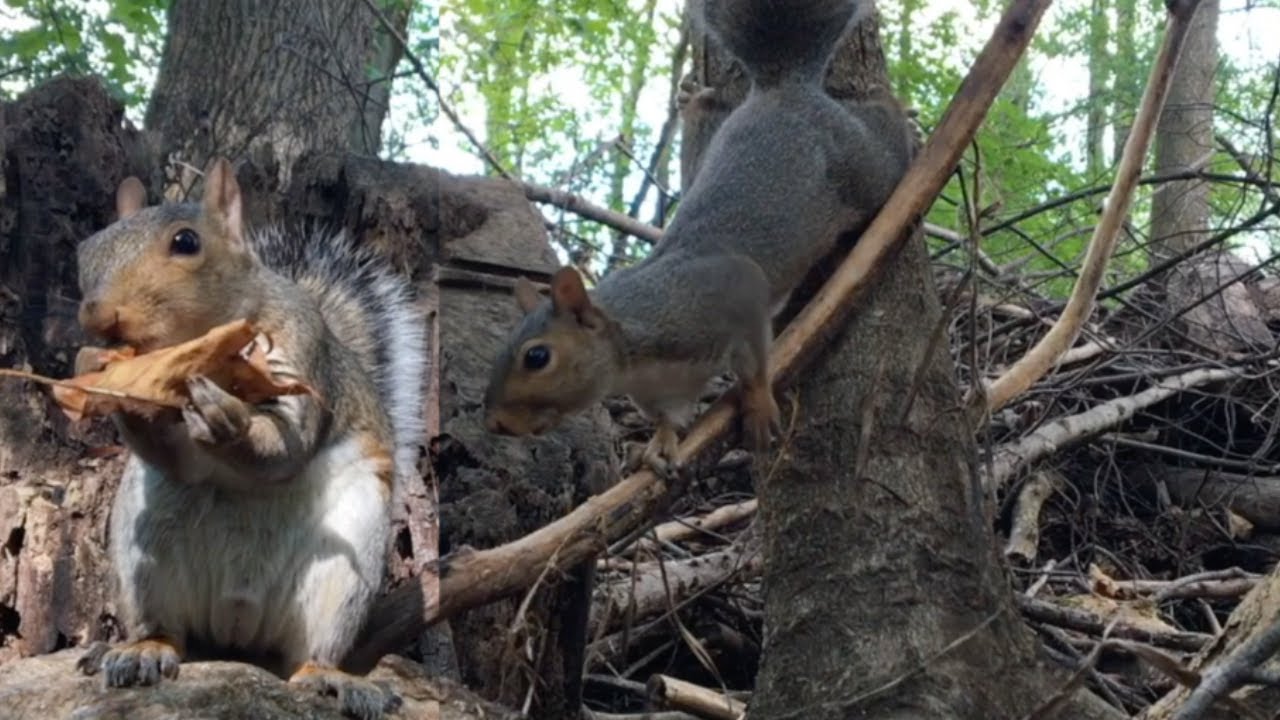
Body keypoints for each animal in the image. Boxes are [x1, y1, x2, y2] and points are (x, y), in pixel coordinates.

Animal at [72, 157, 425, 720]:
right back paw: (141, 650)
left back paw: (330, 678)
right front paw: (115, 383)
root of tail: (239, 627)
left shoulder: (300, 356)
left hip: (343, 566)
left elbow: (287, 444)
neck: (210, 351)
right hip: (142, 551)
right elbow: (172, 456)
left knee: (312, 650)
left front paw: (226, 419)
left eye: (187, 242)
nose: (99, 316)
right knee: (167, 629)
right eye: (86, 249)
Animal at [482, 0, 917, 474]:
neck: (632, 350)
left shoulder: (733, 298)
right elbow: (668, 418)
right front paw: (659, 446)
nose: (495, 424)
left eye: (537, 357)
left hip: (865, 166)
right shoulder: (662, 390)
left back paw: (901, 114)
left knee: (885, 143)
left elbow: (753, 364)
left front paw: (758, 406)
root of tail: (781, 88)